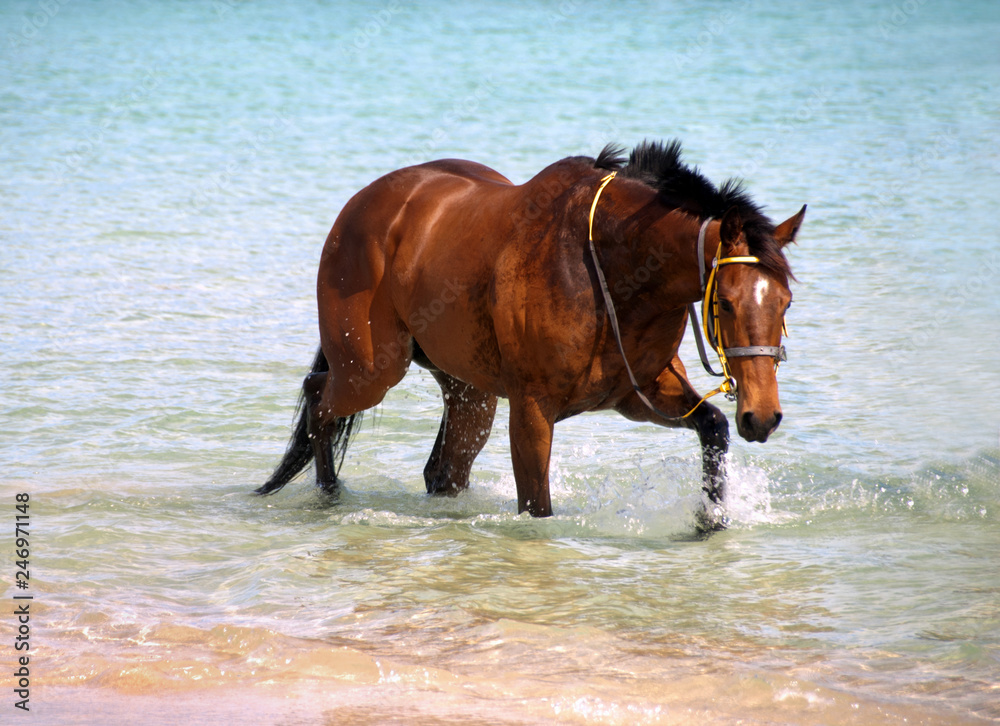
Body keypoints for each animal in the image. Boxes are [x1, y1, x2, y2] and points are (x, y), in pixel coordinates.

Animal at [257, 140, 805, 528]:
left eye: (784, 302)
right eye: (725, 302)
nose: (762, 416)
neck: (610, 266)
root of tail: (363, 203)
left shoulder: (637, 393)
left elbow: (713, 427)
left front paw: (709, 519)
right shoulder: (533, 410)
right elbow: (537, 507)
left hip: (470, 393)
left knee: (442, 470)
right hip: (371, 370)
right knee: (319, 399)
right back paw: (329, 496)